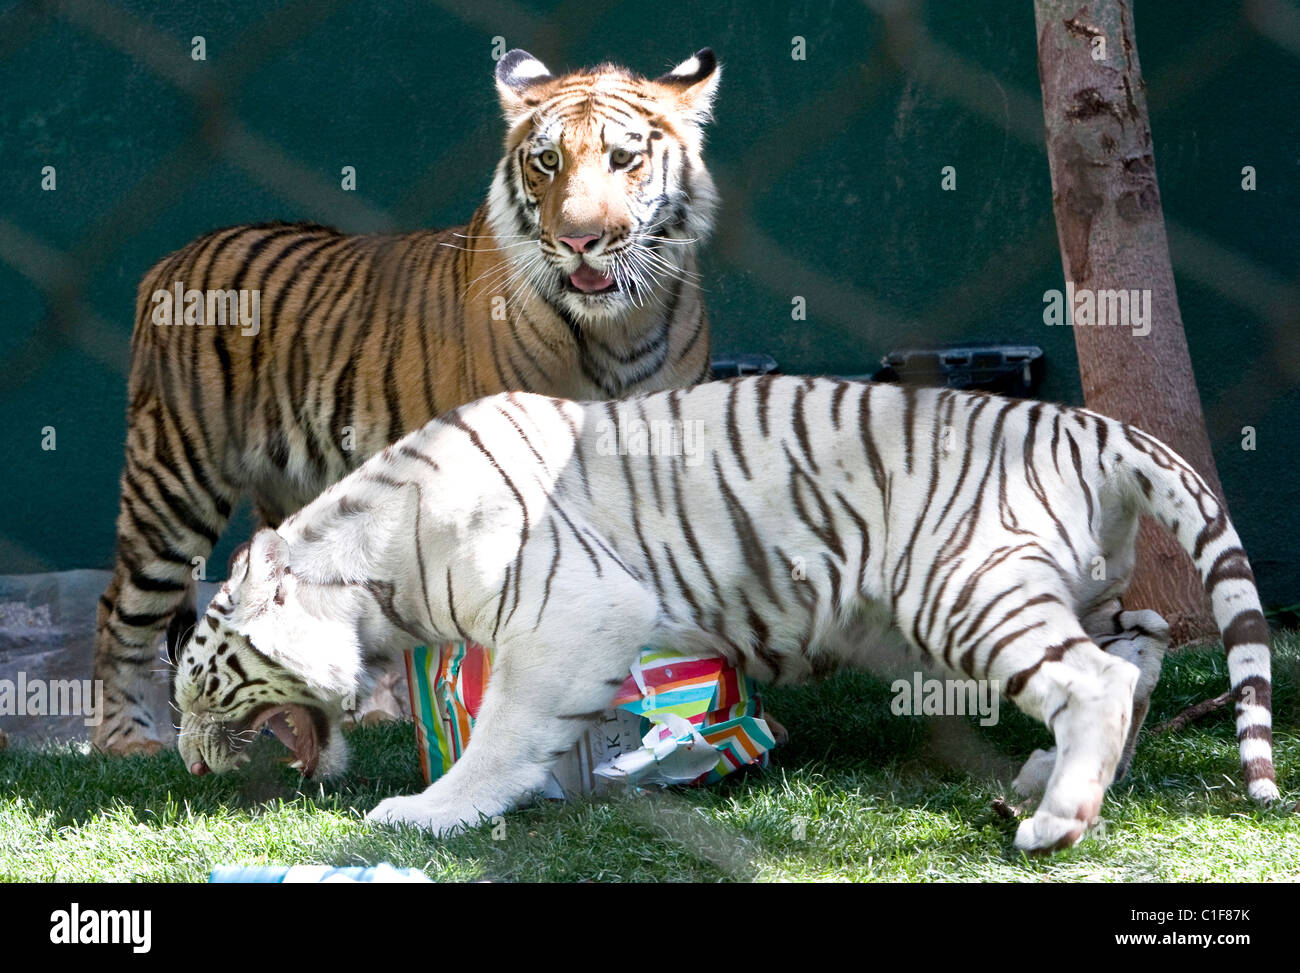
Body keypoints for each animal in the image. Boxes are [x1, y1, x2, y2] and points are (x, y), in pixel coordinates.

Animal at [95, 47, 722, 755]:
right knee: (119, 614)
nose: (579, 241)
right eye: (546, 161)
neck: (620, 326)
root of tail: (169, 260)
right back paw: (126, 741)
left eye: (623, 159)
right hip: (173, 488)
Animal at [173, 375, 1278, 853]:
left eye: (198, 685)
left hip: (970, 587)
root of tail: (1091, 428)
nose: (186, 762)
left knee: (1098, 677)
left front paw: (433, 811)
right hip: (1066, 584)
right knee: (1139, 653)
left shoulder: (569, 610)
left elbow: (504, 733)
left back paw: (1054, 820)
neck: (372, 570)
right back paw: (1049, 777)